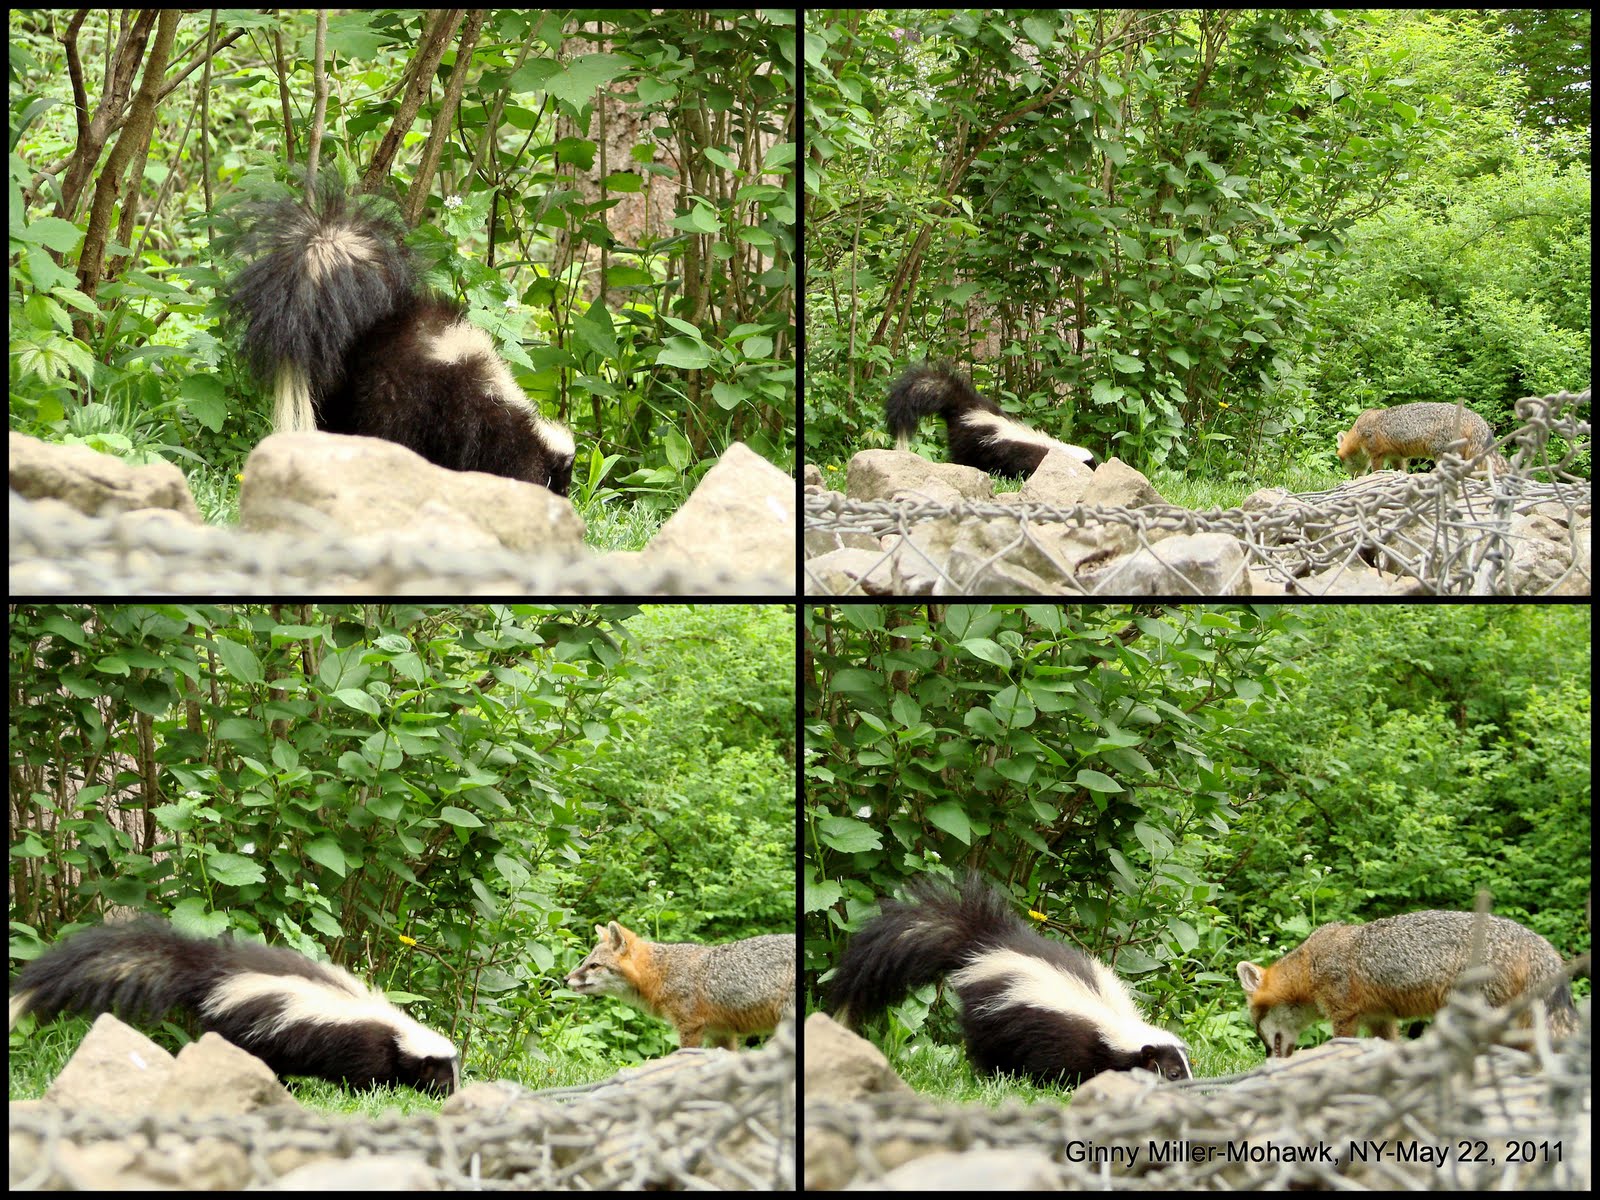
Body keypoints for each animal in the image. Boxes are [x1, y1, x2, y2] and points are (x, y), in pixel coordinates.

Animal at [565, 922, 795, 1050]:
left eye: (594, 966)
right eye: (585, 962)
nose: (566, 979)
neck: (662, 972)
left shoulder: (690, 1027)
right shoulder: (720, 1033)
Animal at [1236, 910, 1579, 1058]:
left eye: (1257, 1025)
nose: (1268, 1059)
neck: (1310, 963)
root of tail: (1536, 941)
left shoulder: (1344, 1015)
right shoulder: (1379, 1019)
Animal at [1336, 402, 1508, 476]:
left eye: (1341, 461)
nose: (1353, 478)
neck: (1359, 430)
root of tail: (1475, 417)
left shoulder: (1376, 454)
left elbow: (1377, 471)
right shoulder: (1396, 457)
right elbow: (1401, 470)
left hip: (1441, 455)